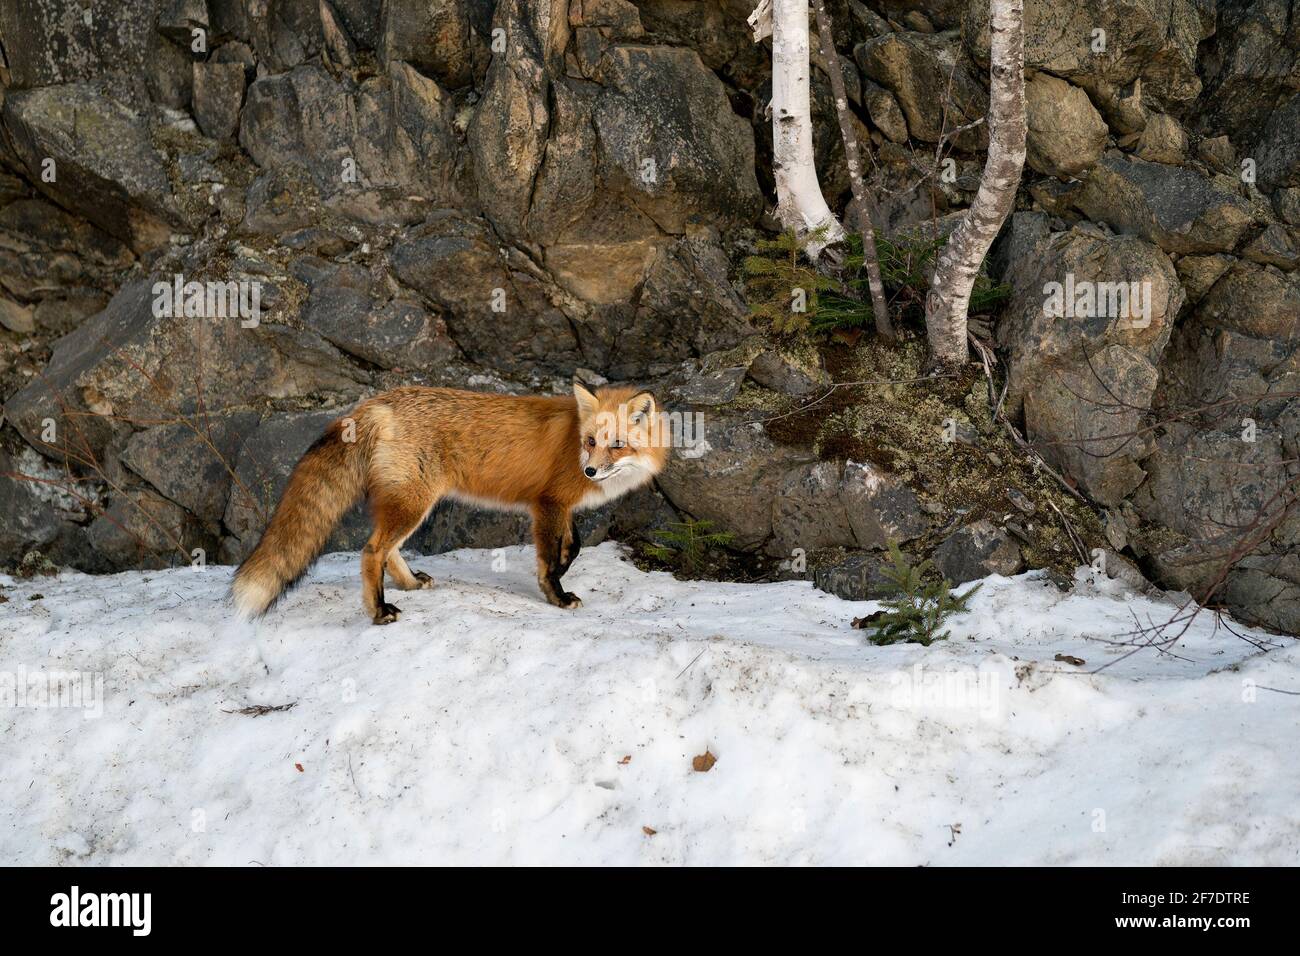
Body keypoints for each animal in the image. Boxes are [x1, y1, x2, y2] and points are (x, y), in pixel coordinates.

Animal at [231, 383, 669, 624]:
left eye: (616, 445)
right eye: (591, 442)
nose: (590, 472)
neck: (572, 443)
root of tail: (376, 402)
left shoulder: (562, 508)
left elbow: (573, 546)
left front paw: (563, 569)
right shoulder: (547, 503)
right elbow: (549, 561)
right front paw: (556, 595)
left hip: (415, 502)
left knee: (387, 549)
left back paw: (408, 584)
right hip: (414, 503)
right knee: (371, 551)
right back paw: (379, 611)